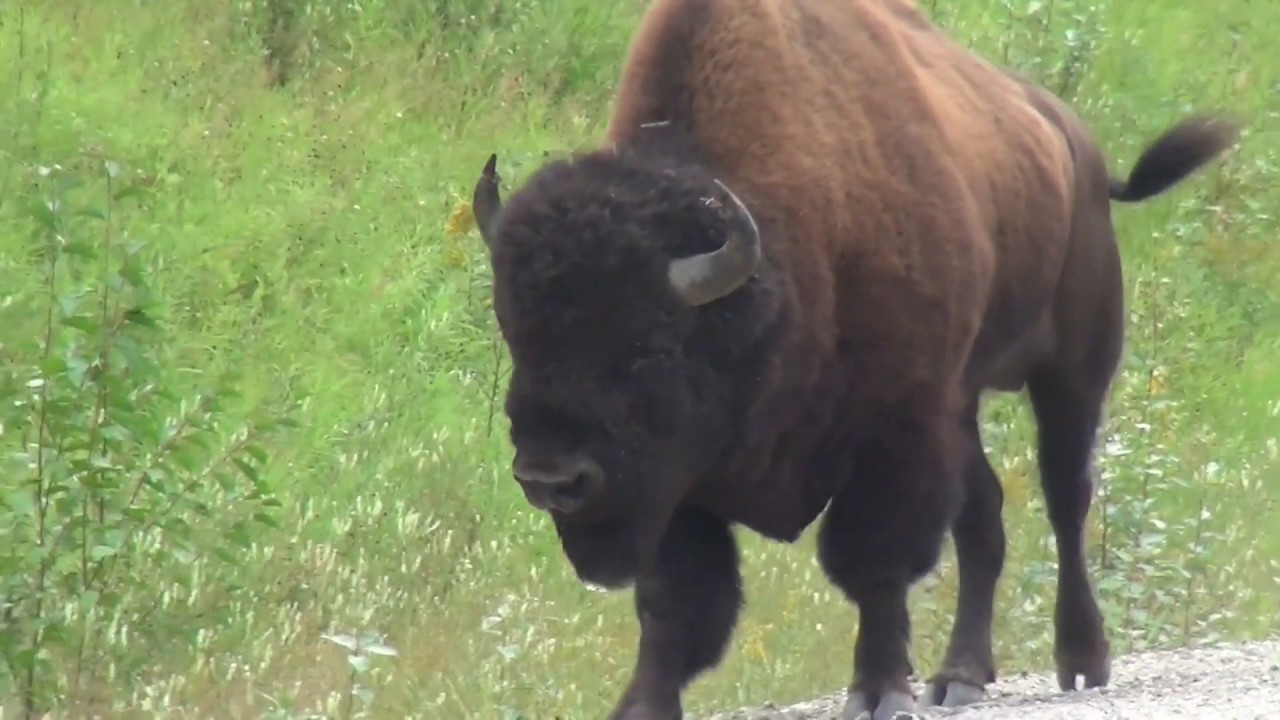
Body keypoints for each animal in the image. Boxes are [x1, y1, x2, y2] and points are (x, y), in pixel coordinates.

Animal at [467, 0, 1240, 718]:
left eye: (650, 347)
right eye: (517, 336)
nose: (549, 477)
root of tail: (1078, 146)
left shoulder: (891, 437)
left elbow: (873, 563)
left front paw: (879, 691)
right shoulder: (678, 488)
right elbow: (676, 602)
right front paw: (643, 706)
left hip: (1071, 373)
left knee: (1065, 501)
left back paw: (1081, 659)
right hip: (960, 406)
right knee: (983, 518)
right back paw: (961, 675)